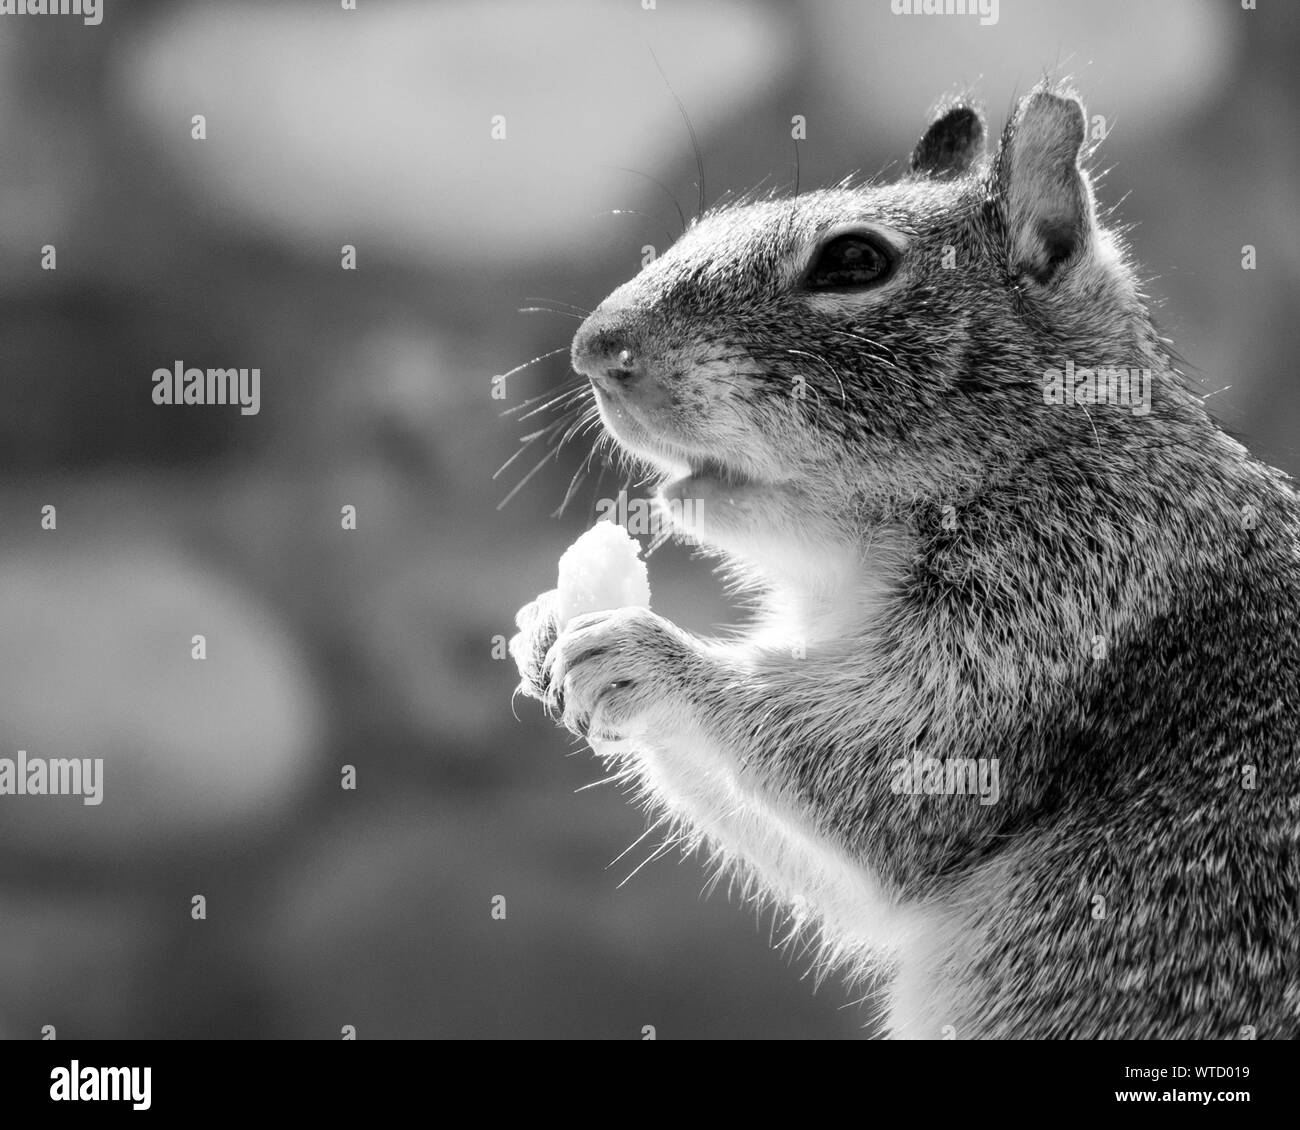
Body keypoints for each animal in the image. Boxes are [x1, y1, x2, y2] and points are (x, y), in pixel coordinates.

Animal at [510, 83, 1300, 1039]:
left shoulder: (1071, 600)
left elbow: (884, 776)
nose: (595, 348)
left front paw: (644, 654)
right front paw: (543, 625)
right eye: (703, 222)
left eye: (855, 262)